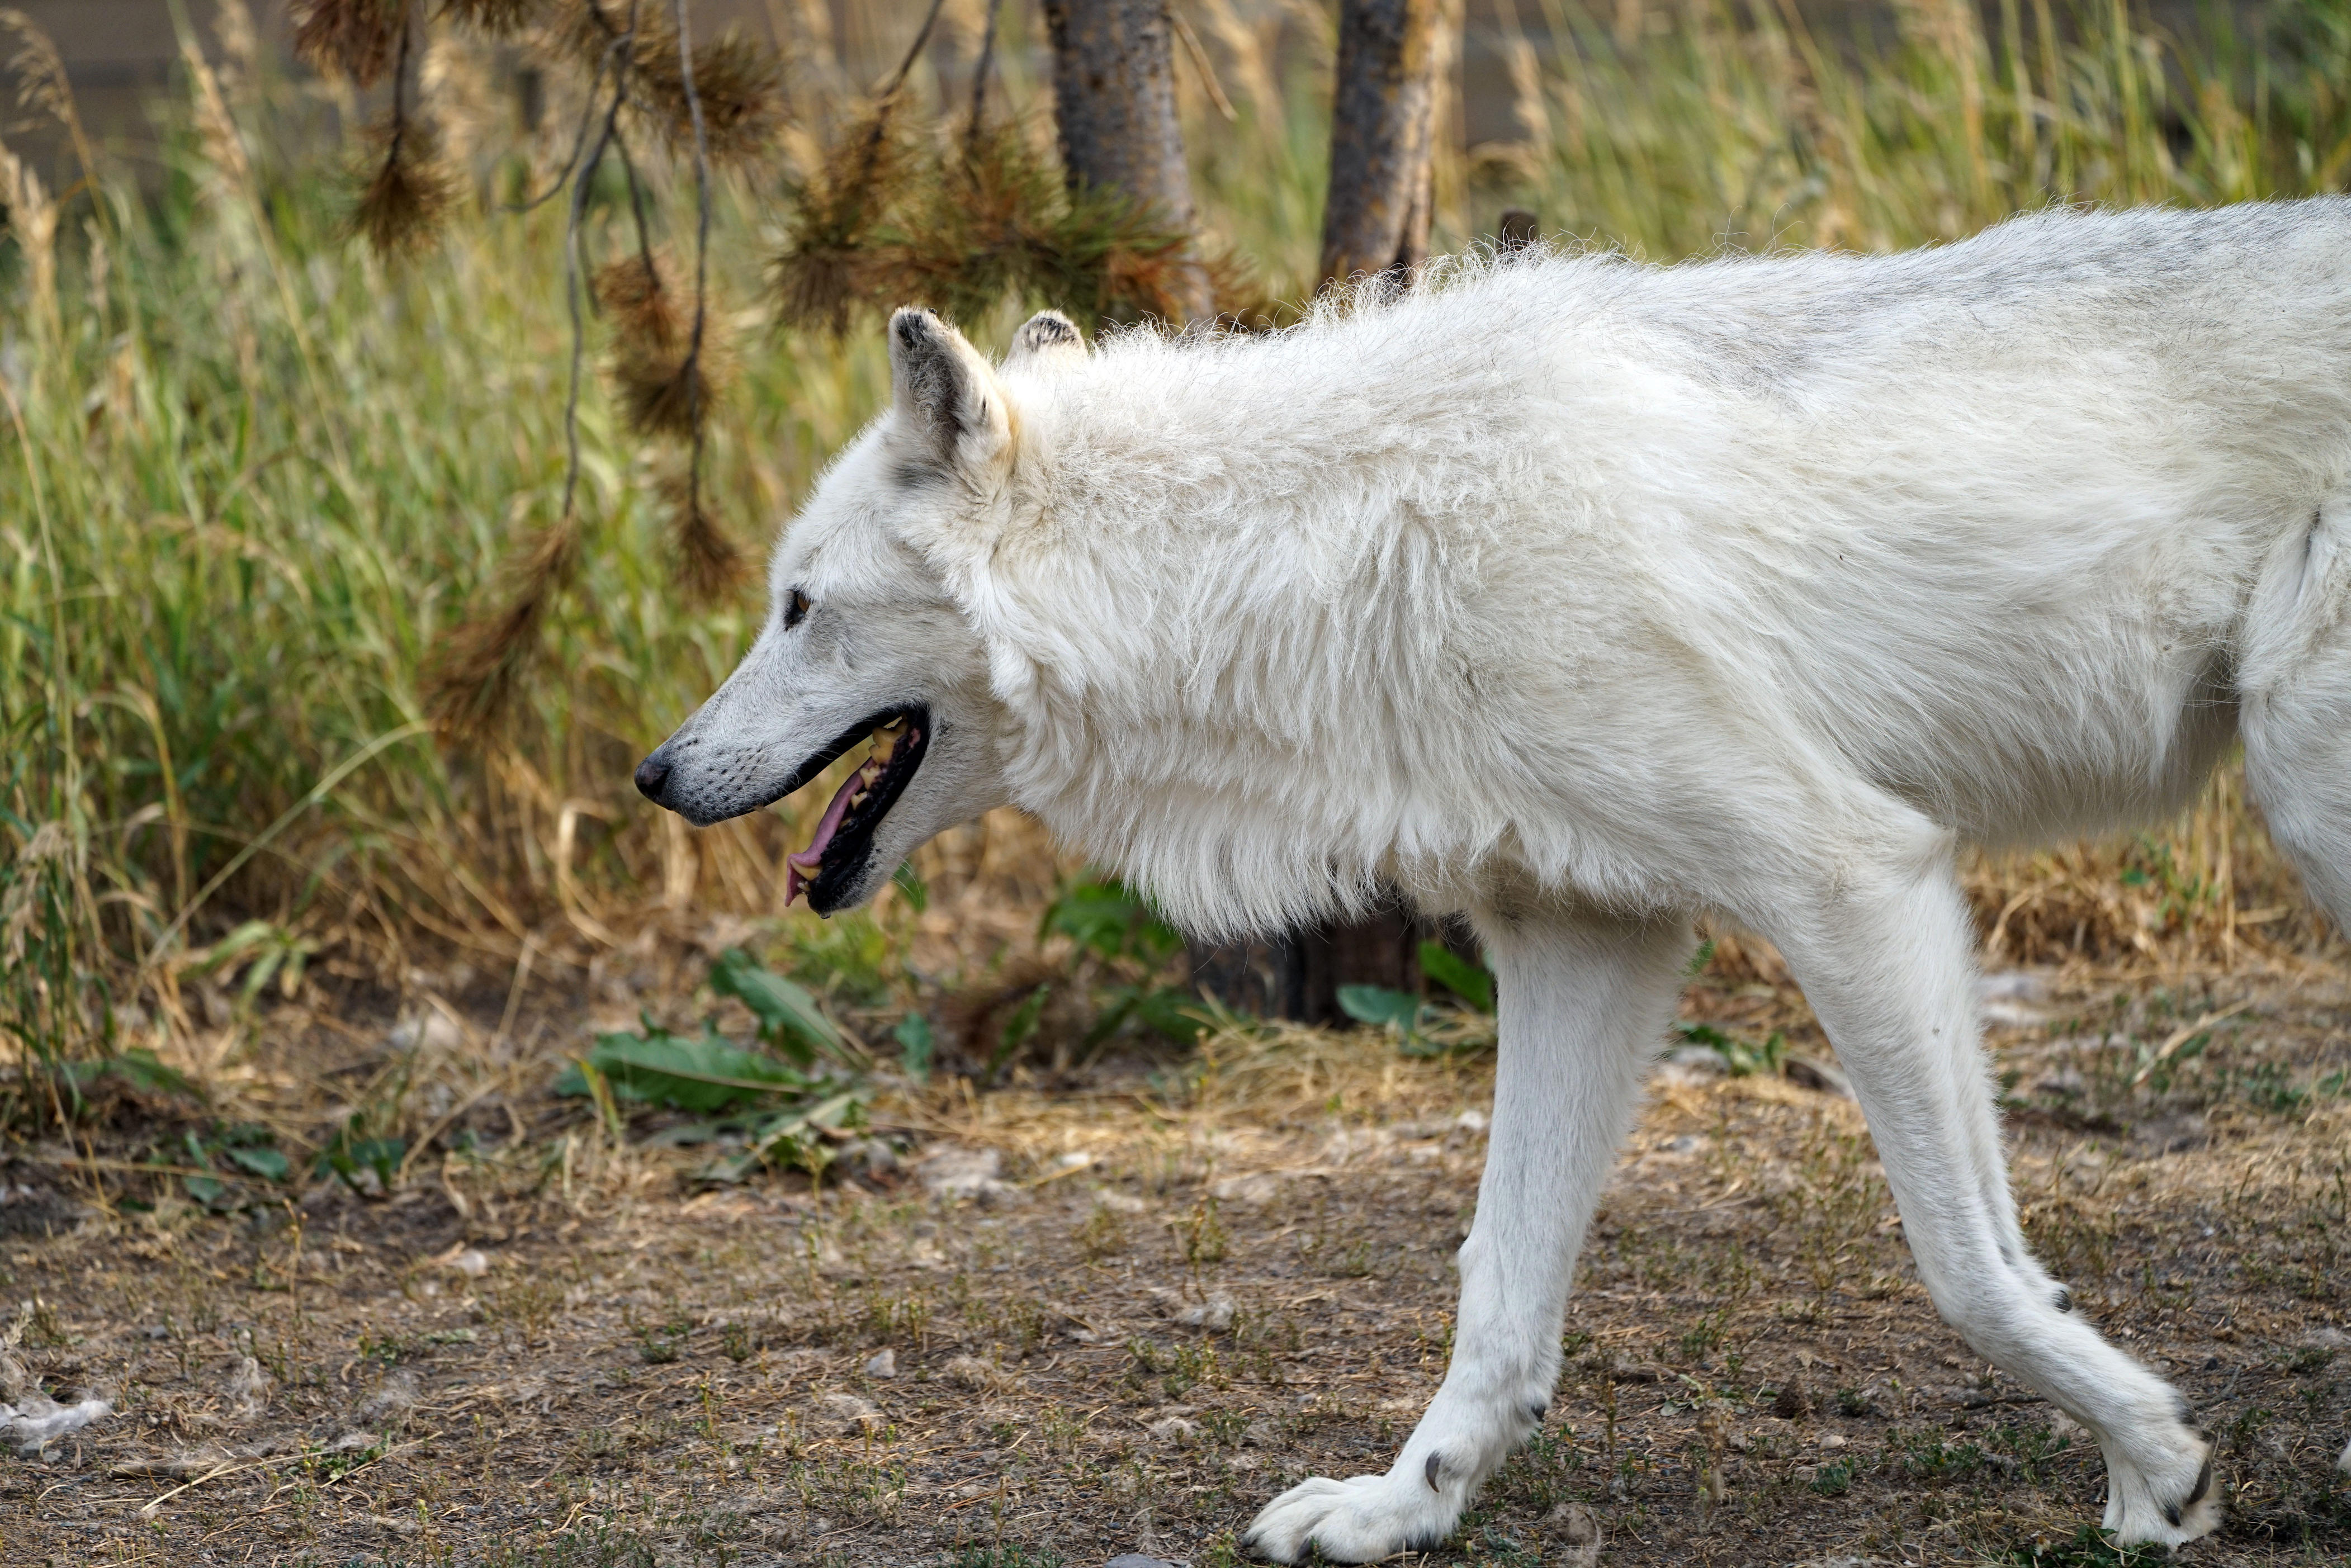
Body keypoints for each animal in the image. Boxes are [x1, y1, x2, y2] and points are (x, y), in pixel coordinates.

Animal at [635, 198, 2351, 1560]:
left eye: (797, 607)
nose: (654, 771)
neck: (1339, 541)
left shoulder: (1849, 876)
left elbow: (1968, 1266)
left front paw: (2155, 1468)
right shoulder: (1584, 939)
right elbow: (1497, 1281)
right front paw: (1402, 1505)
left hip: (2300, 789)